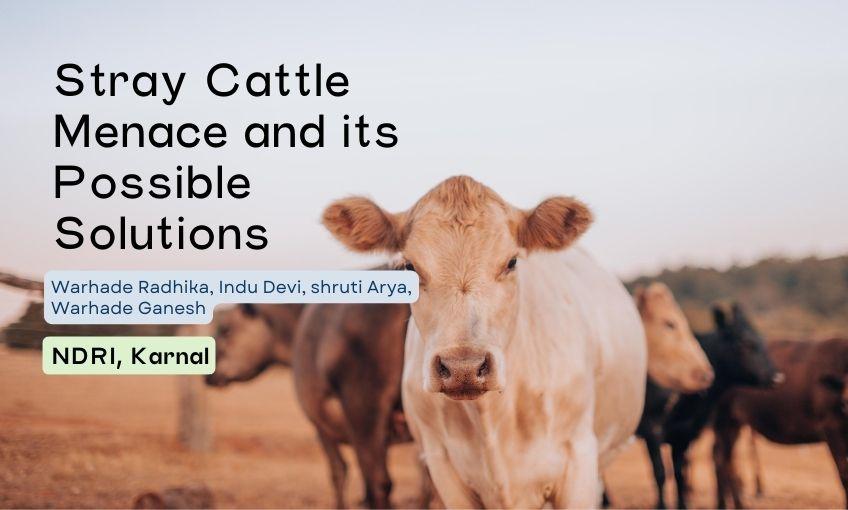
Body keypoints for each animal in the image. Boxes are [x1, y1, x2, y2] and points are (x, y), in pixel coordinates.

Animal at [636, 303, 780, 509]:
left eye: (761, 340)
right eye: (745, 343)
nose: (777, 377)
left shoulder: (685, 433)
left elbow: (679, 474)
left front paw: (683, 505)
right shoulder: (652, 429)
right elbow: (660, 473)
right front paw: (661, 506)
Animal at [713, 337, 848, 509]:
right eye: (844, 401)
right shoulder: (832, 430)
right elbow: (844, 475)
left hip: (733, 423)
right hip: (723, 420)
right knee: (724, 459)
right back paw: (735, 504)